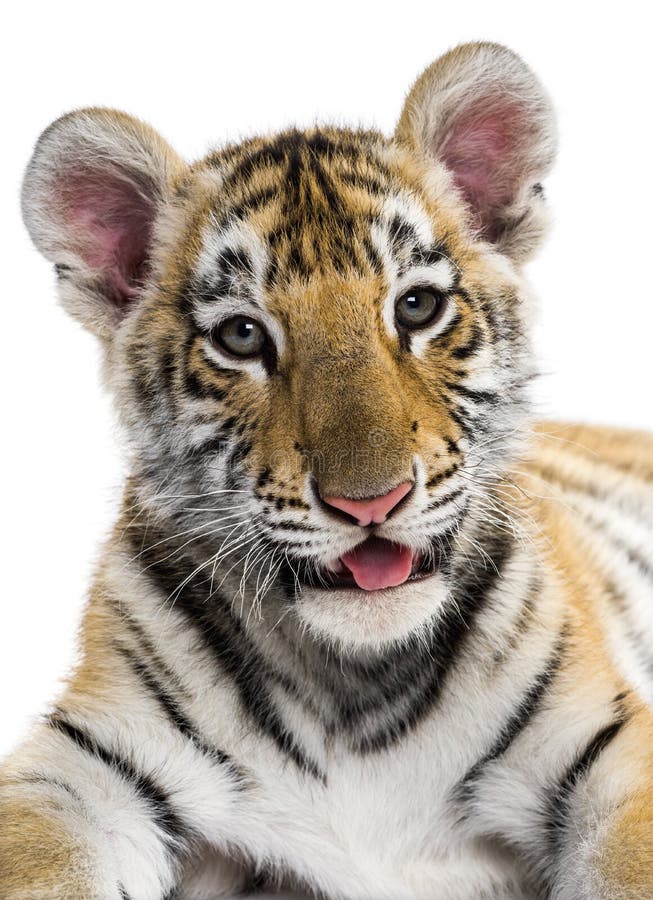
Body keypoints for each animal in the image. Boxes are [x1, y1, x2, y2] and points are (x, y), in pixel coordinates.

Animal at [1, 39, 652, 900]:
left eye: (415, 308)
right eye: (242, 336)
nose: (372, 502)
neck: (354, 683)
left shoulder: (608, 749)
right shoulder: (84, 768)